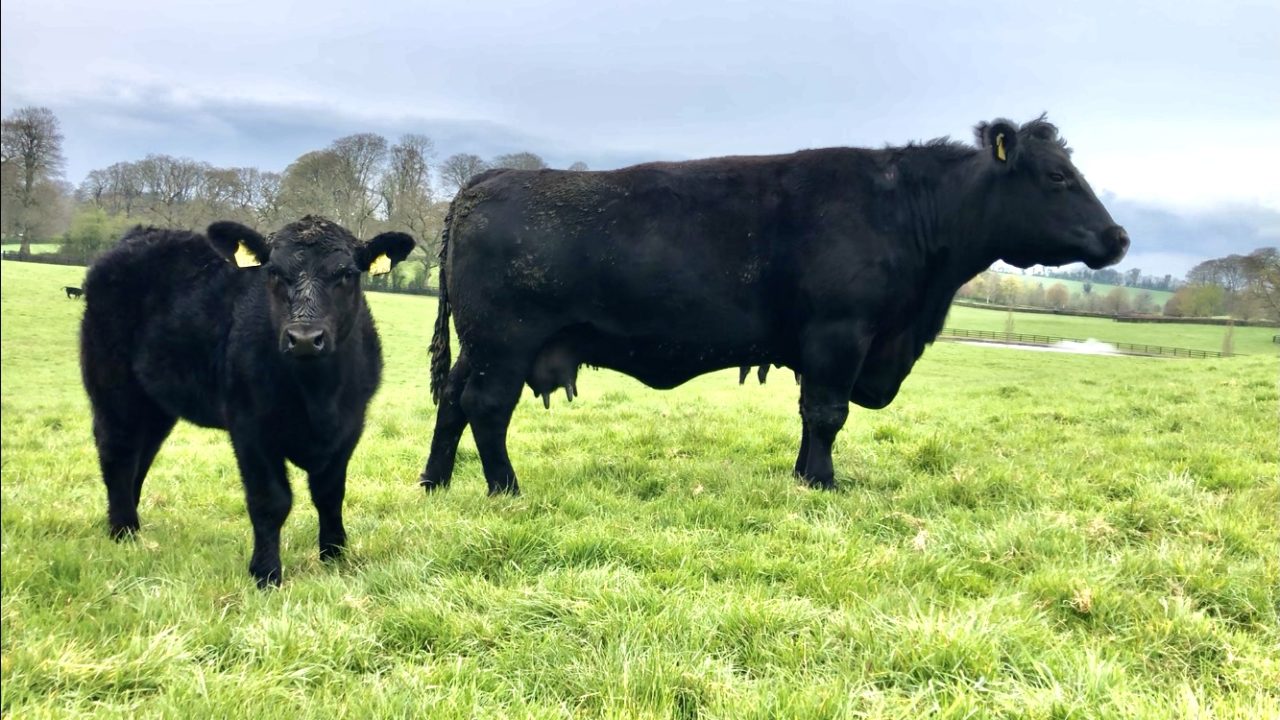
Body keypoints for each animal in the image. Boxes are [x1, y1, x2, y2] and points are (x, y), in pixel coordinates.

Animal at [80, 216, 415, 586]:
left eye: (346, 274)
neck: (318, 396)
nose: (304, 339)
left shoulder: (350, 426)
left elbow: (329, 493)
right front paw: (266, 573)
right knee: (118, 452)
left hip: (156, 404)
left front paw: (334, 555)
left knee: (142, 454)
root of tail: (140, 234)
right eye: (274, 272)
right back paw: (122, 530)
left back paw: (132, 522)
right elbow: (271, 500)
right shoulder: (250, 428)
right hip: (113, 386)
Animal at [419, 117, 1128, 496]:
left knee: (452, 401)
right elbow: (829, 413)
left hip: (482, 344)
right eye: (1058, 175)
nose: (1118, 237)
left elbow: (810, 414)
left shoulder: (825, 346)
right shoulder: (841, 335)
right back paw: (506, 488)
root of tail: (485, 180)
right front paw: (824, 483)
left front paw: (802, 475)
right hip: (506, 342)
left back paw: (436, 482)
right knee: (486, 407)